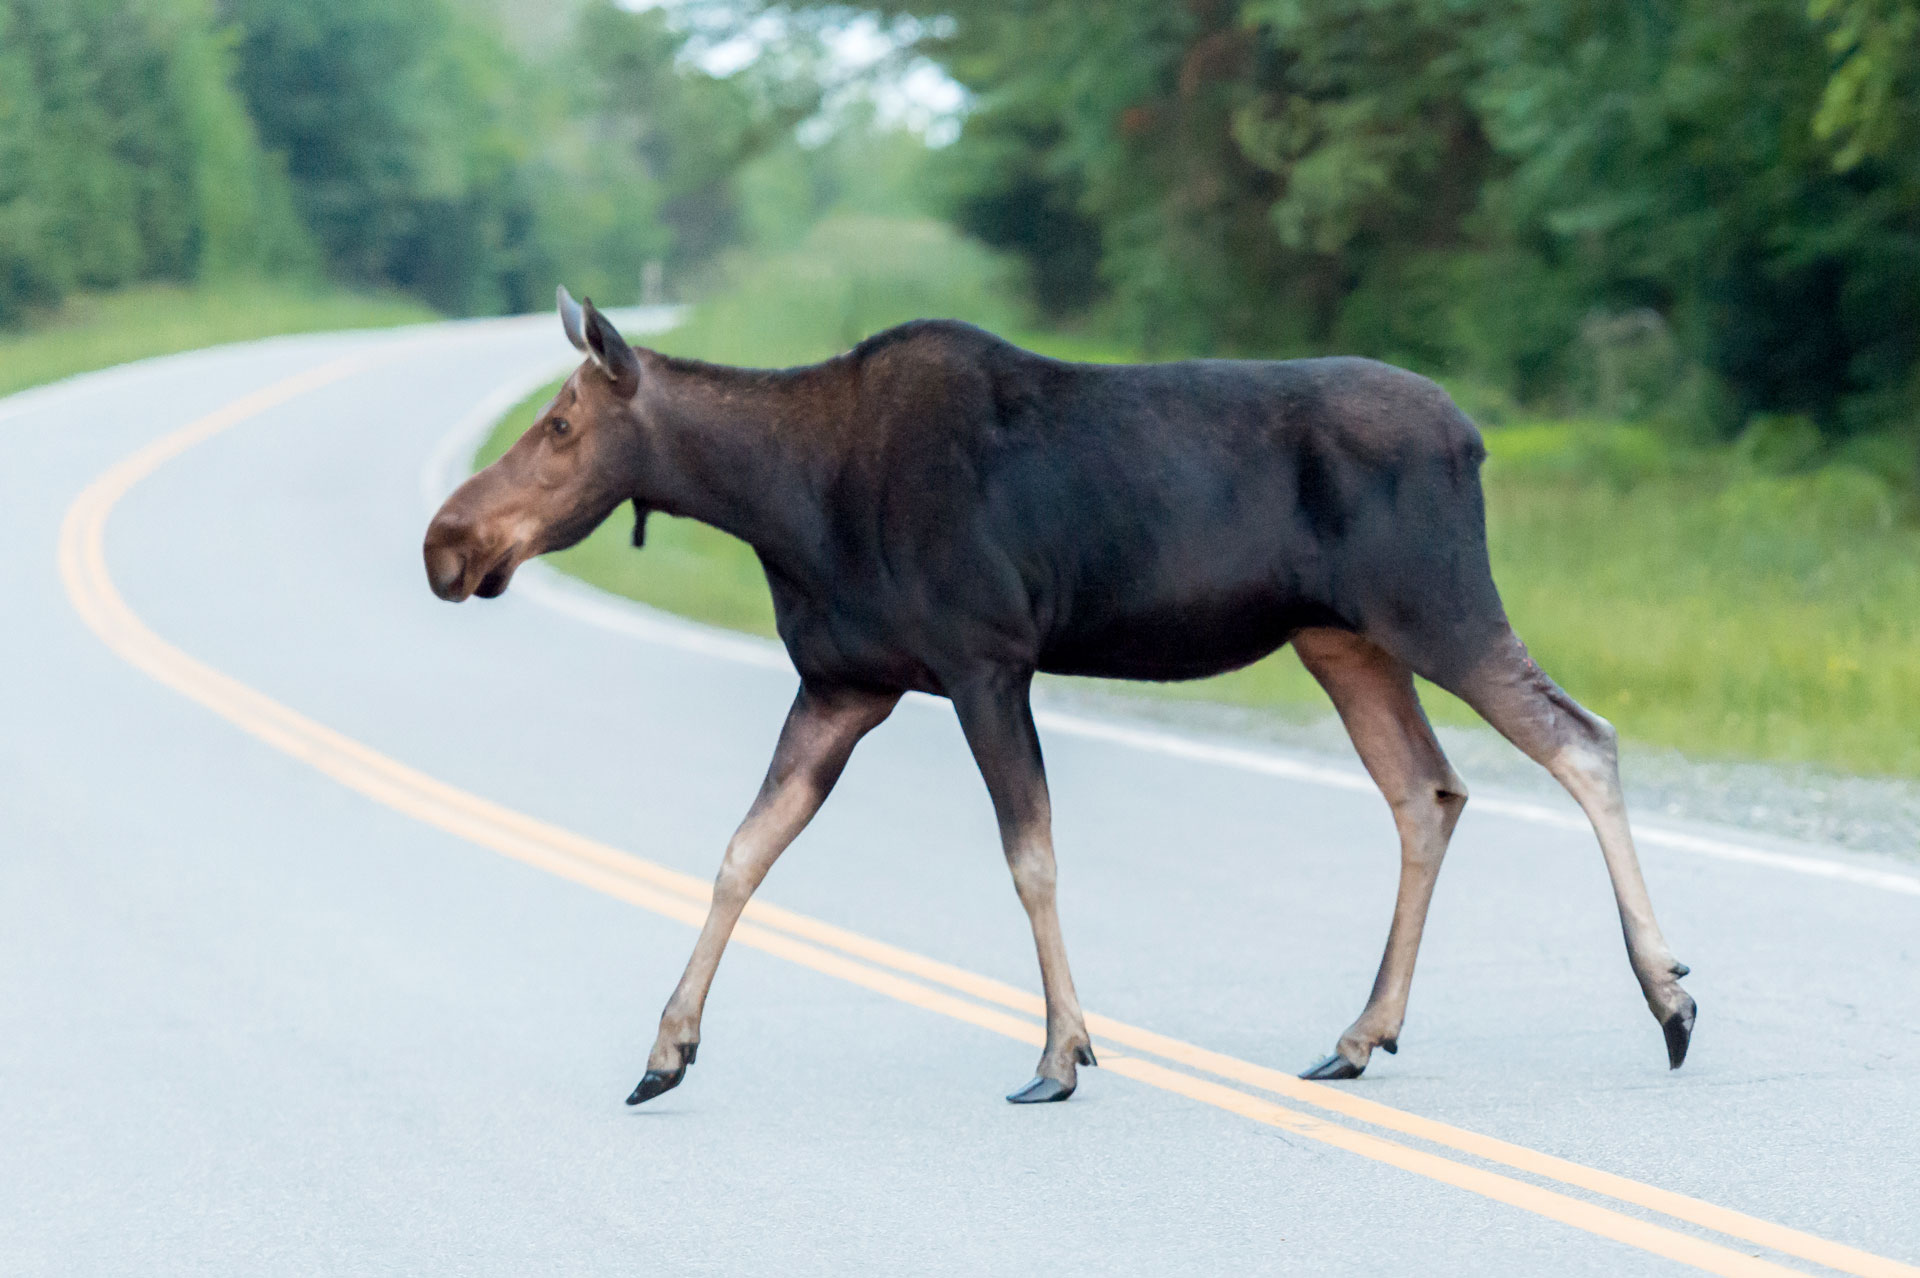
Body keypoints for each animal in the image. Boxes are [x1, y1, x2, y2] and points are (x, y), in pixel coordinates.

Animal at [422, 288, 1695, 1106]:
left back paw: (1669, 998)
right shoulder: (844, 683)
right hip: (1342, 639)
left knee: (1582, 738)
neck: (783, 507)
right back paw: (1361, 1033)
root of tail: (1475, 439)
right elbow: (743, 850)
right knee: (1427, 790)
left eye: (560, 425)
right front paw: (666, 1050)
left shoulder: (985, 661)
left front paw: (1060, 1054)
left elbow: (1028, 855)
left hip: (1436, 604)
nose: (446, 543)